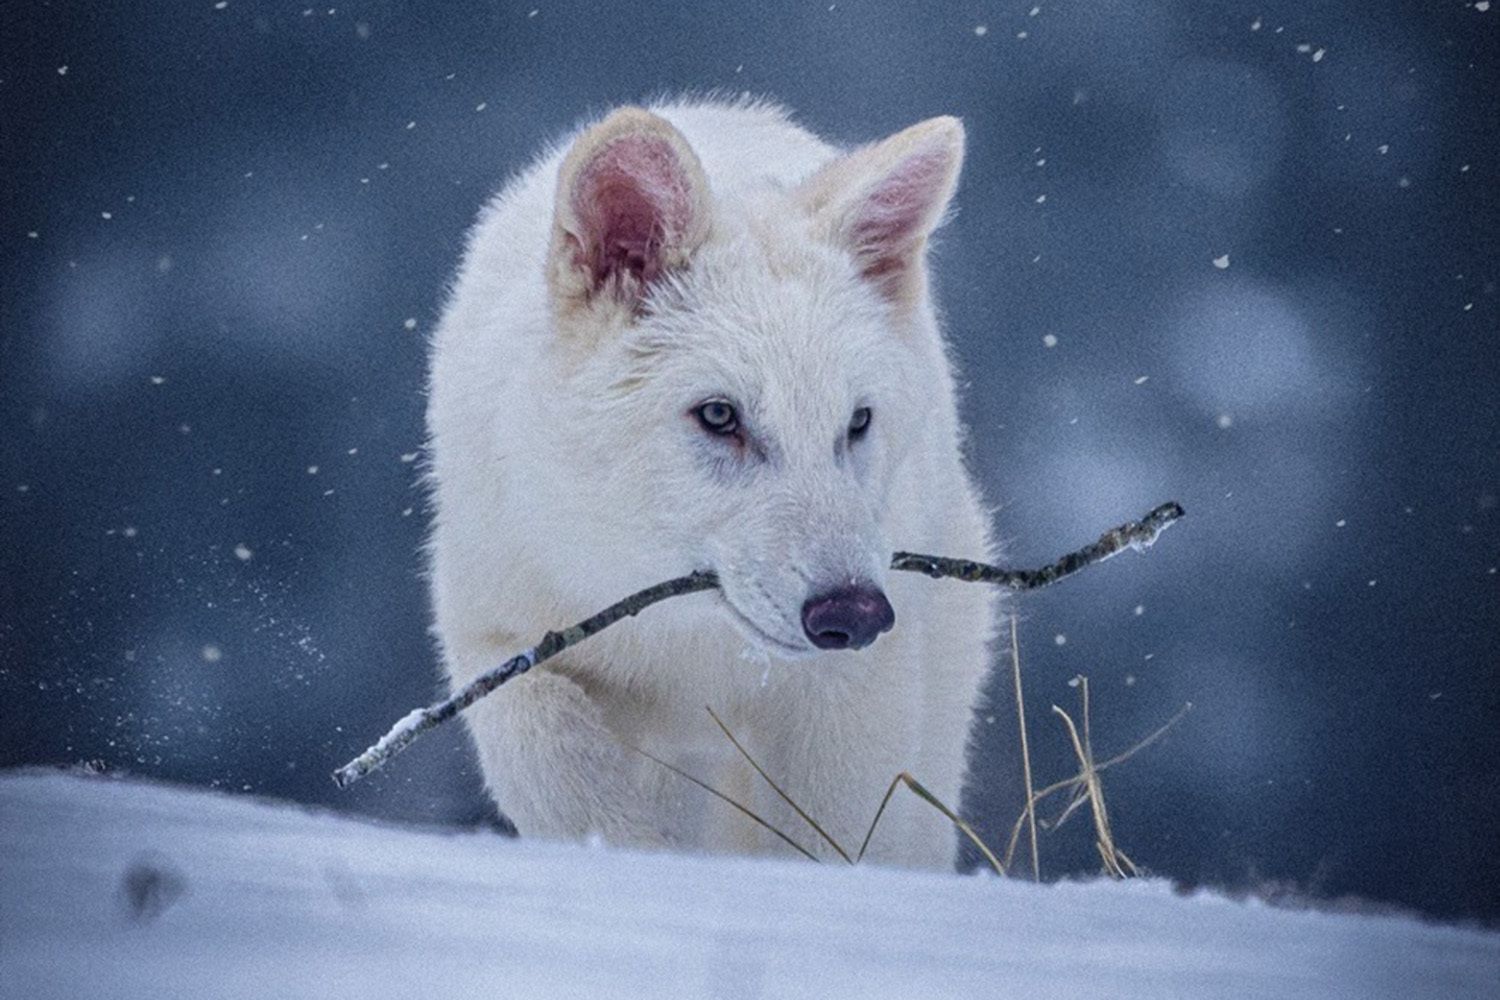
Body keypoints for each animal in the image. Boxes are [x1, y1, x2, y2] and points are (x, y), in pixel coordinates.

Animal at [426, 97, 998, 869]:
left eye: (856, 422)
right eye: (720, 415)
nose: (854, 614)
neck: (688, 641)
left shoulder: (850, 694)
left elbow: (830, 840)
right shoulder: (497, 638)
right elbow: (557, 764)